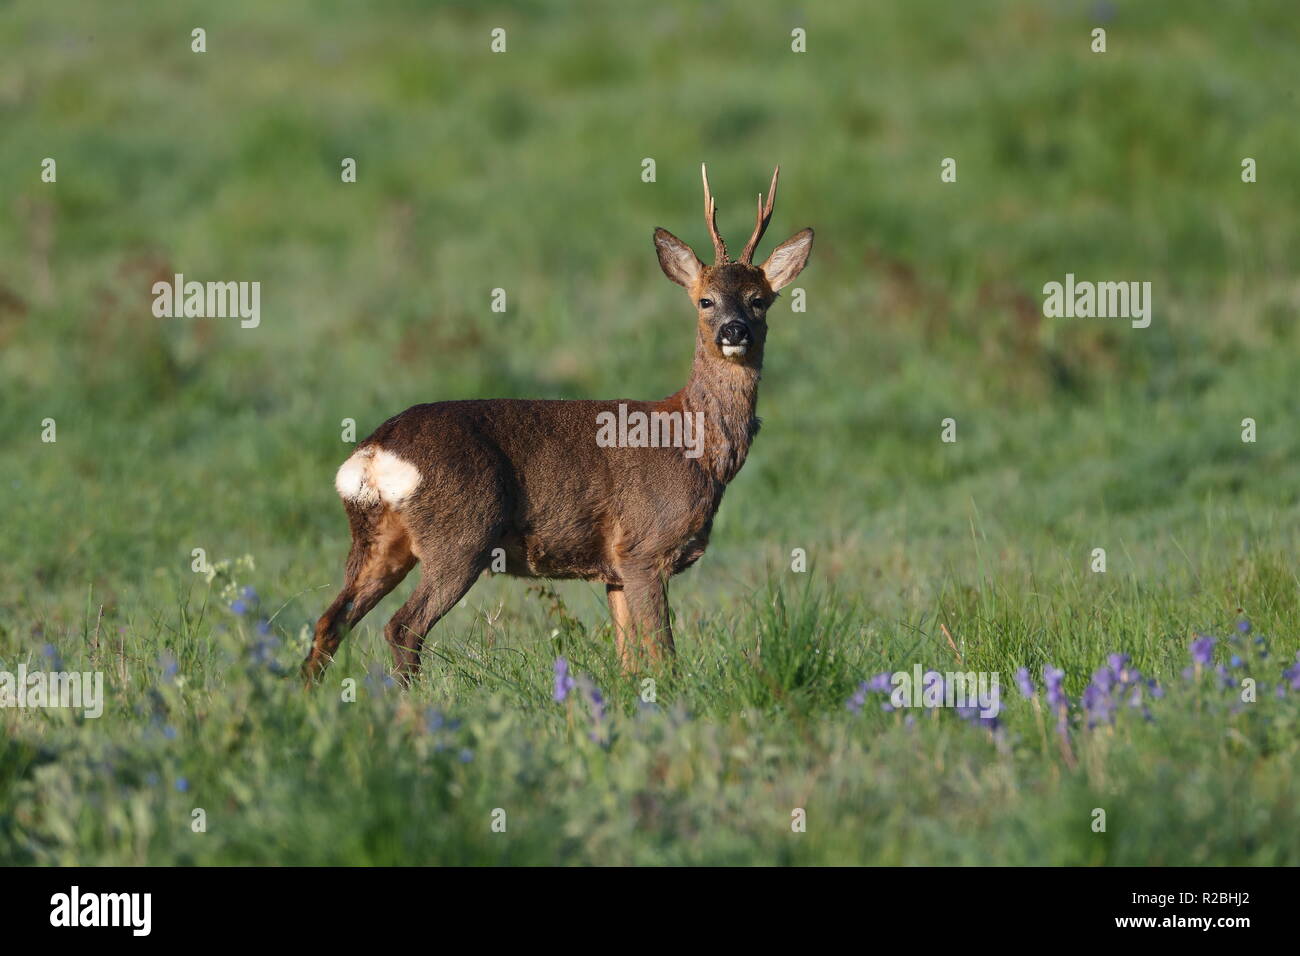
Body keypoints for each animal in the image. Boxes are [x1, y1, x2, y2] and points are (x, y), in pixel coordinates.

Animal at [301, 165, 813, 684]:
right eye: (705, 301)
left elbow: (628, 662)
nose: (734, 330)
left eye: (759, 300)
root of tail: (373, 451)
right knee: (402, 627)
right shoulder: (645, 548)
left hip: (379, 539)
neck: (695, 445)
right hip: (460, 535)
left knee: (329, 621)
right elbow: (664, 656)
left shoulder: (615, 569)